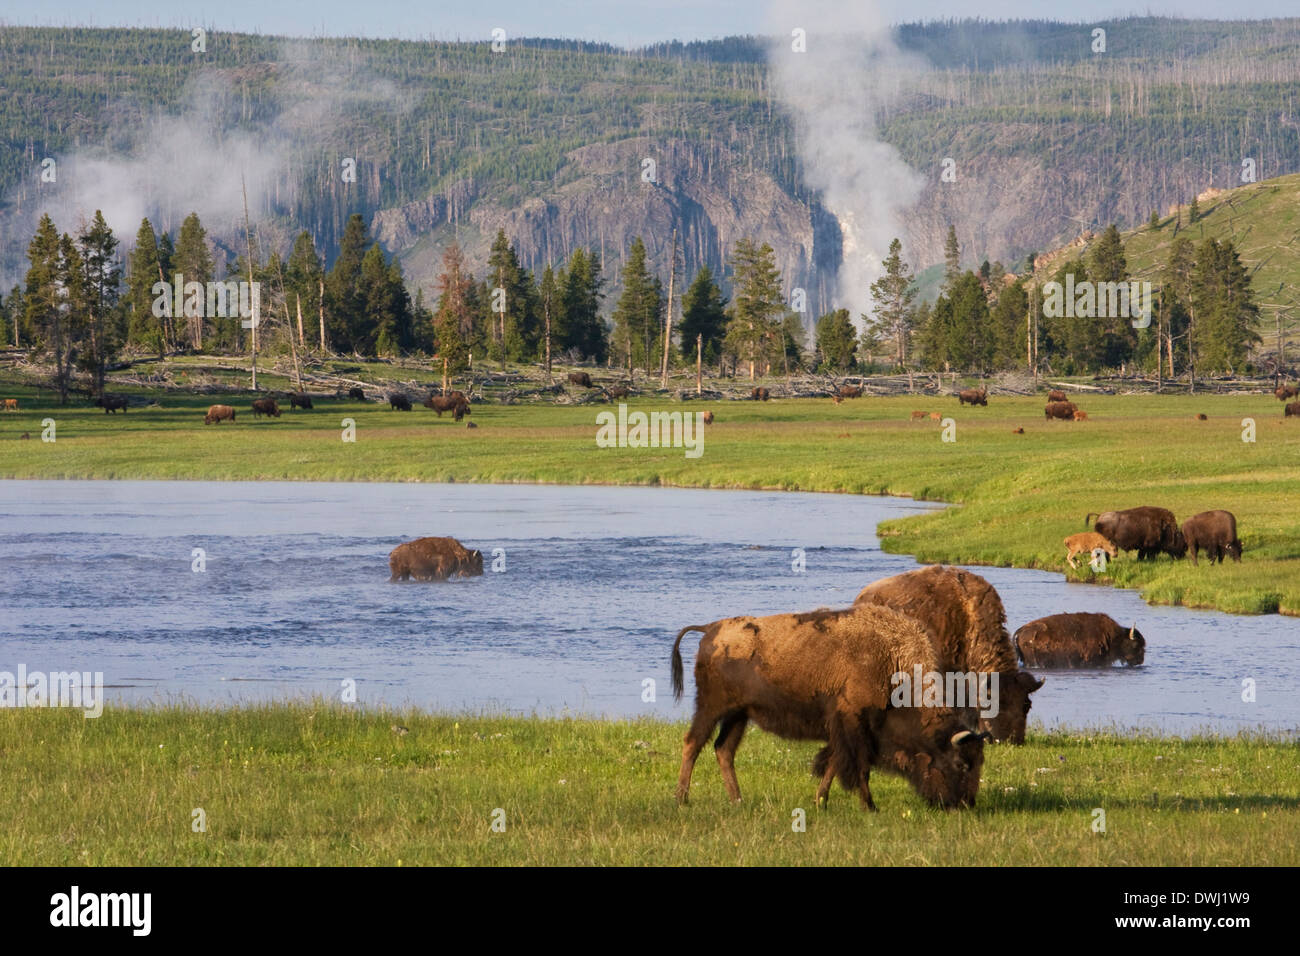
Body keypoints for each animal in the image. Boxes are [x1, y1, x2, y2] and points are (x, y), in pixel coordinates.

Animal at [671, 603, 989, 810]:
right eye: (961, 764)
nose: (965, 804)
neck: (892, 659)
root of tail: (710, 629)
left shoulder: (846, 730)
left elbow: (835, 763)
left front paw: (820, 801)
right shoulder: (853, 723)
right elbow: (858, 766)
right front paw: (869, 806)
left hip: (739, 714)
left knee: (723, 750)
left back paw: (737, 800)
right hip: (711, 708)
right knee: (693, 743)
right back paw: (682, 799)